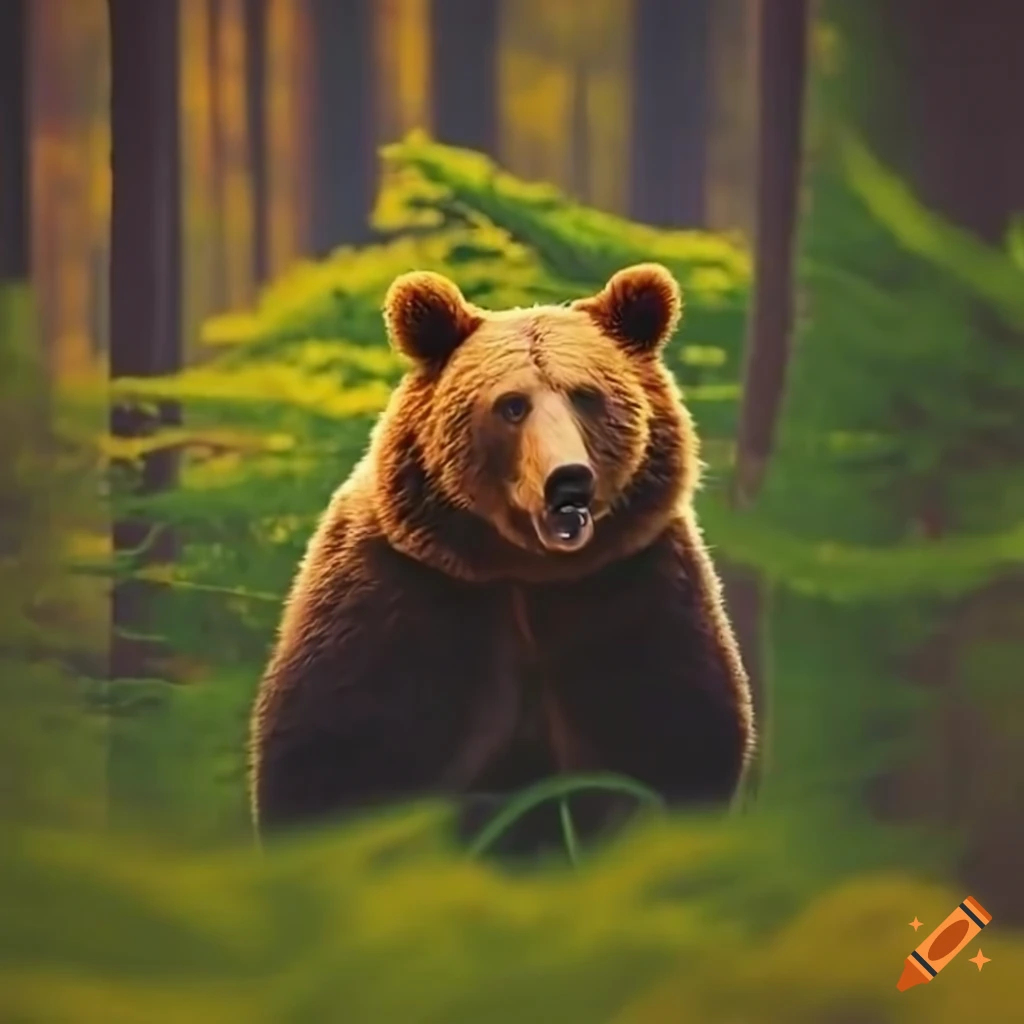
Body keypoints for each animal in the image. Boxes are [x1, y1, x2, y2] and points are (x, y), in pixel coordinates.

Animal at [249, 262, 756, 851]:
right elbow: (339, 760)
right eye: (512, 405)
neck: (526, 569)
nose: (569, 480)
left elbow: (669, 747)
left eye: (585, 396)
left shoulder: (632, 591)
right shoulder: (399, 597)